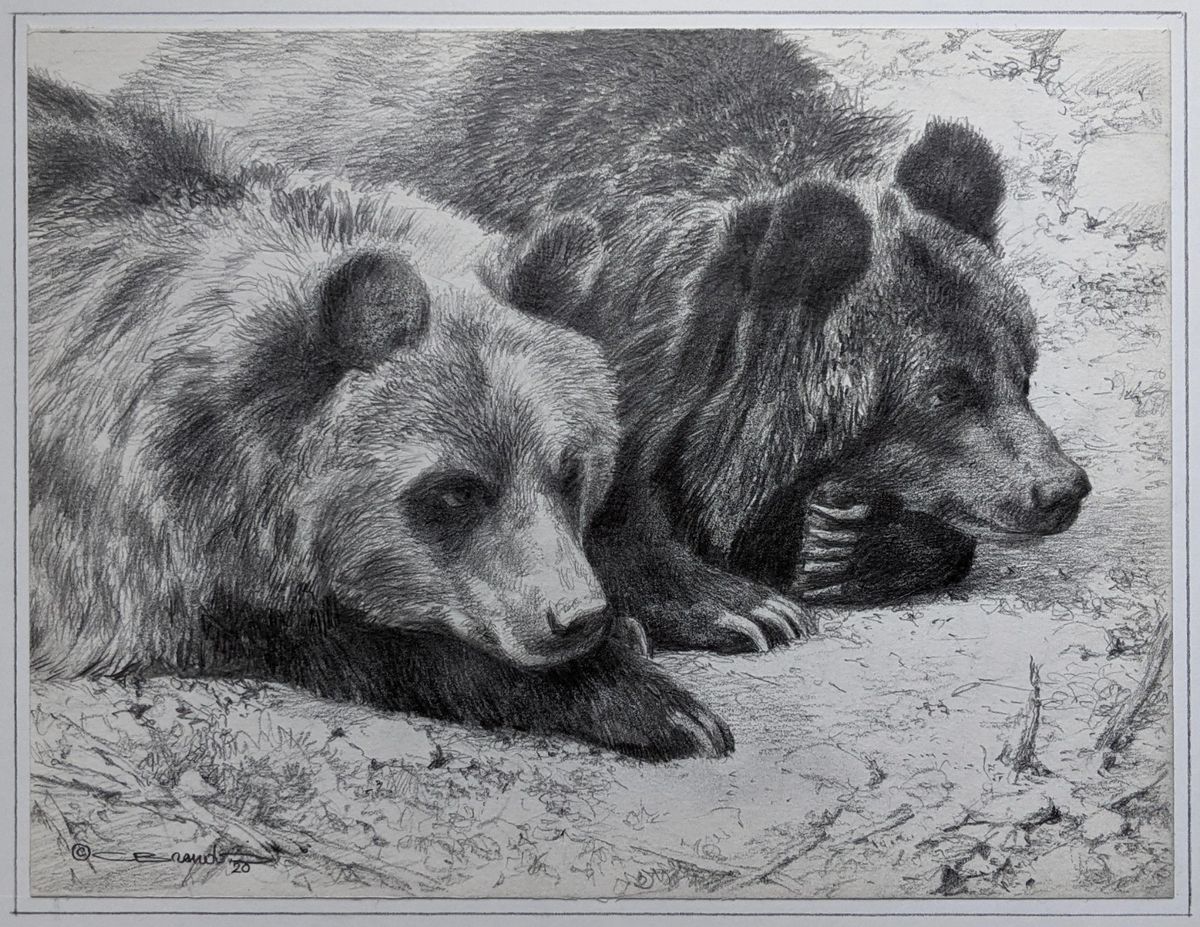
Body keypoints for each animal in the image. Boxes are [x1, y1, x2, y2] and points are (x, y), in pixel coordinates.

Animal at [27, 71, 734, 760]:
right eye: (454, 492)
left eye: (570, 473)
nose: (574, 618)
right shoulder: (119, 533)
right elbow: (322, 633)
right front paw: (646, 692)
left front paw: (721, 603)